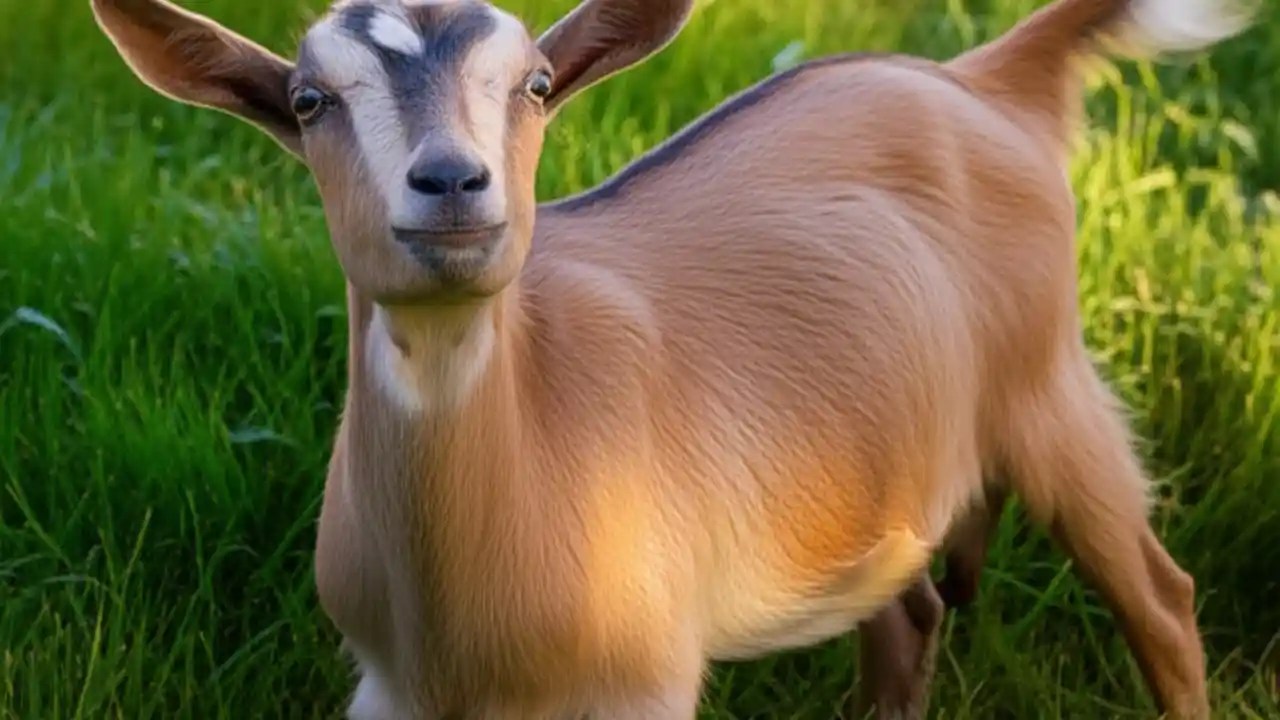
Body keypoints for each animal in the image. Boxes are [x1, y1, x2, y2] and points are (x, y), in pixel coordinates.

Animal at [90, 0, 1253, 716]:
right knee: (908, 609)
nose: (452, 183)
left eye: (537, 85)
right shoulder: (387, 688)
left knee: (1161, 598)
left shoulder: (640, 678)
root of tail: (981, 79)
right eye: (307, 101)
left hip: (1048, 382)